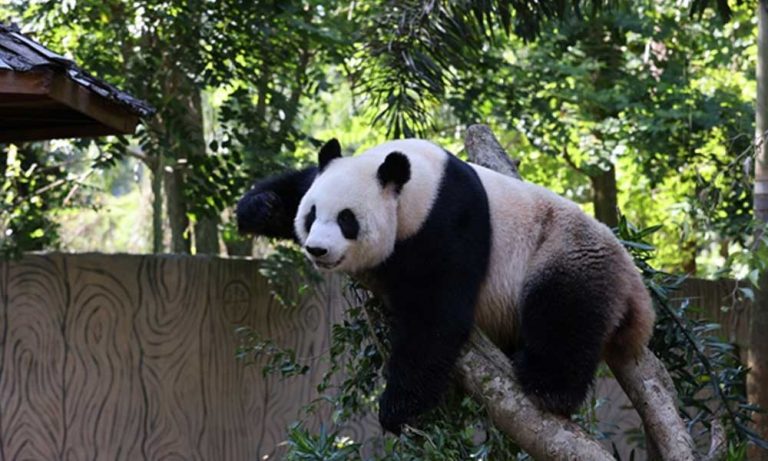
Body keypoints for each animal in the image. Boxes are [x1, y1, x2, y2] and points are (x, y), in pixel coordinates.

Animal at [236, 138, 655, 434]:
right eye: (311, 214)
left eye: (346, 220)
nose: (317, 249)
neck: (421, 183)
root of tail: (634, 283)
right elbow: (298, 182)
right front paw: (261, 207)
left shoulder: (449, 224)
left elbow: (435, 316)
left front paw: (397, 408)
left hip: (566, 251)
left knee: (565, 312)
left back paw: (546, 385)